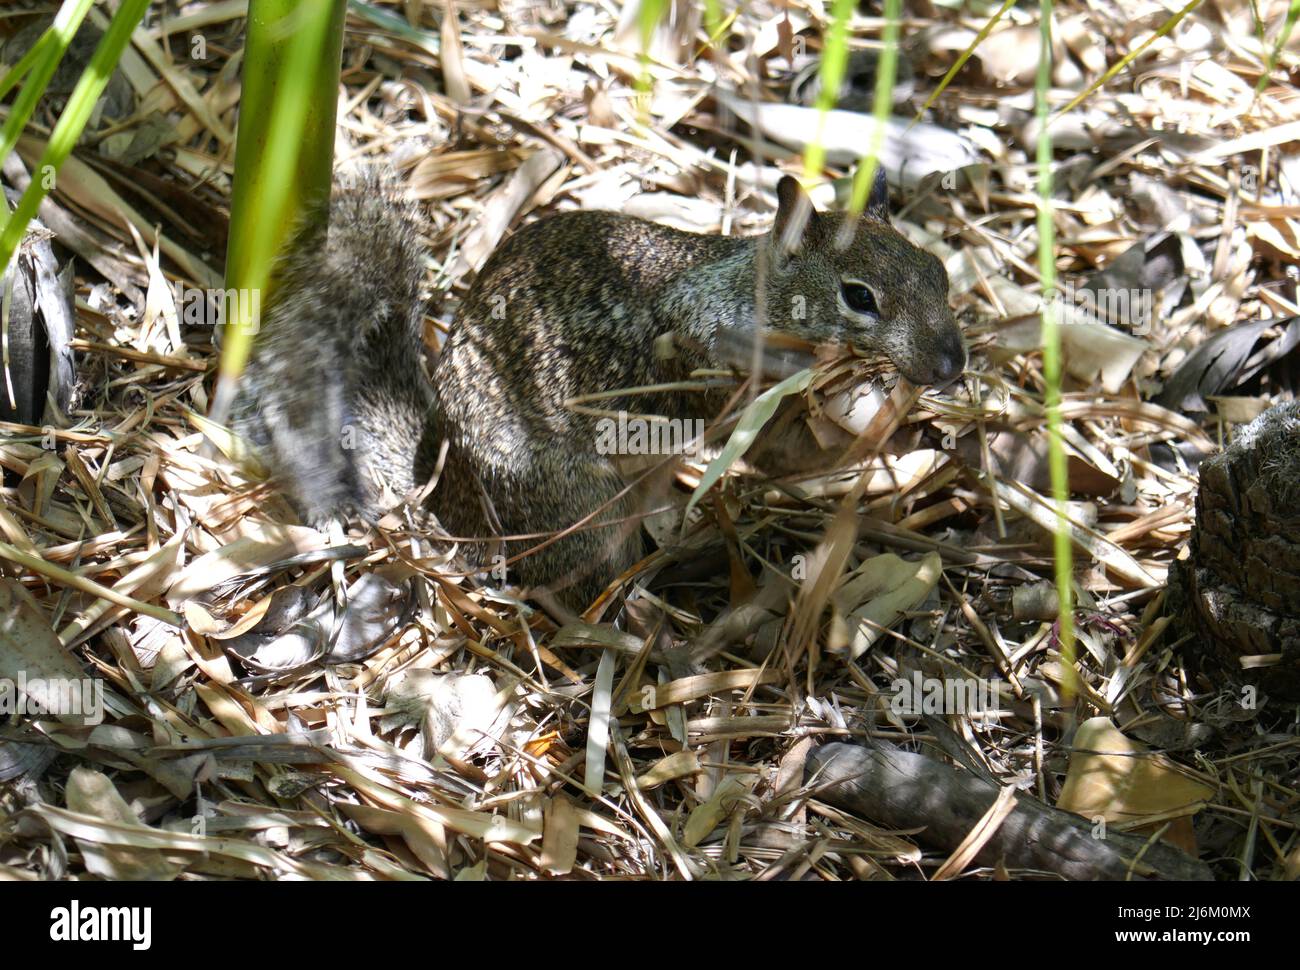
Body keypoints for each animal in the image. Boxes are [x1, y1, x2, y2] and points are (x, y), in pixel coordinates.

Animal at [234, 170, 965, 607]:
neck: (744, 292)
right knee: (565, 586)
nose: (951, 364)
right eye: (859, 296)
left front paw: (909, 437)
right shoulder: (706, 368)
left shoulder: (772, 422)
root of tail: (444, 495)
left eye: (939, 271)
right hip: (580, 510)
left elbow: (797, 456)